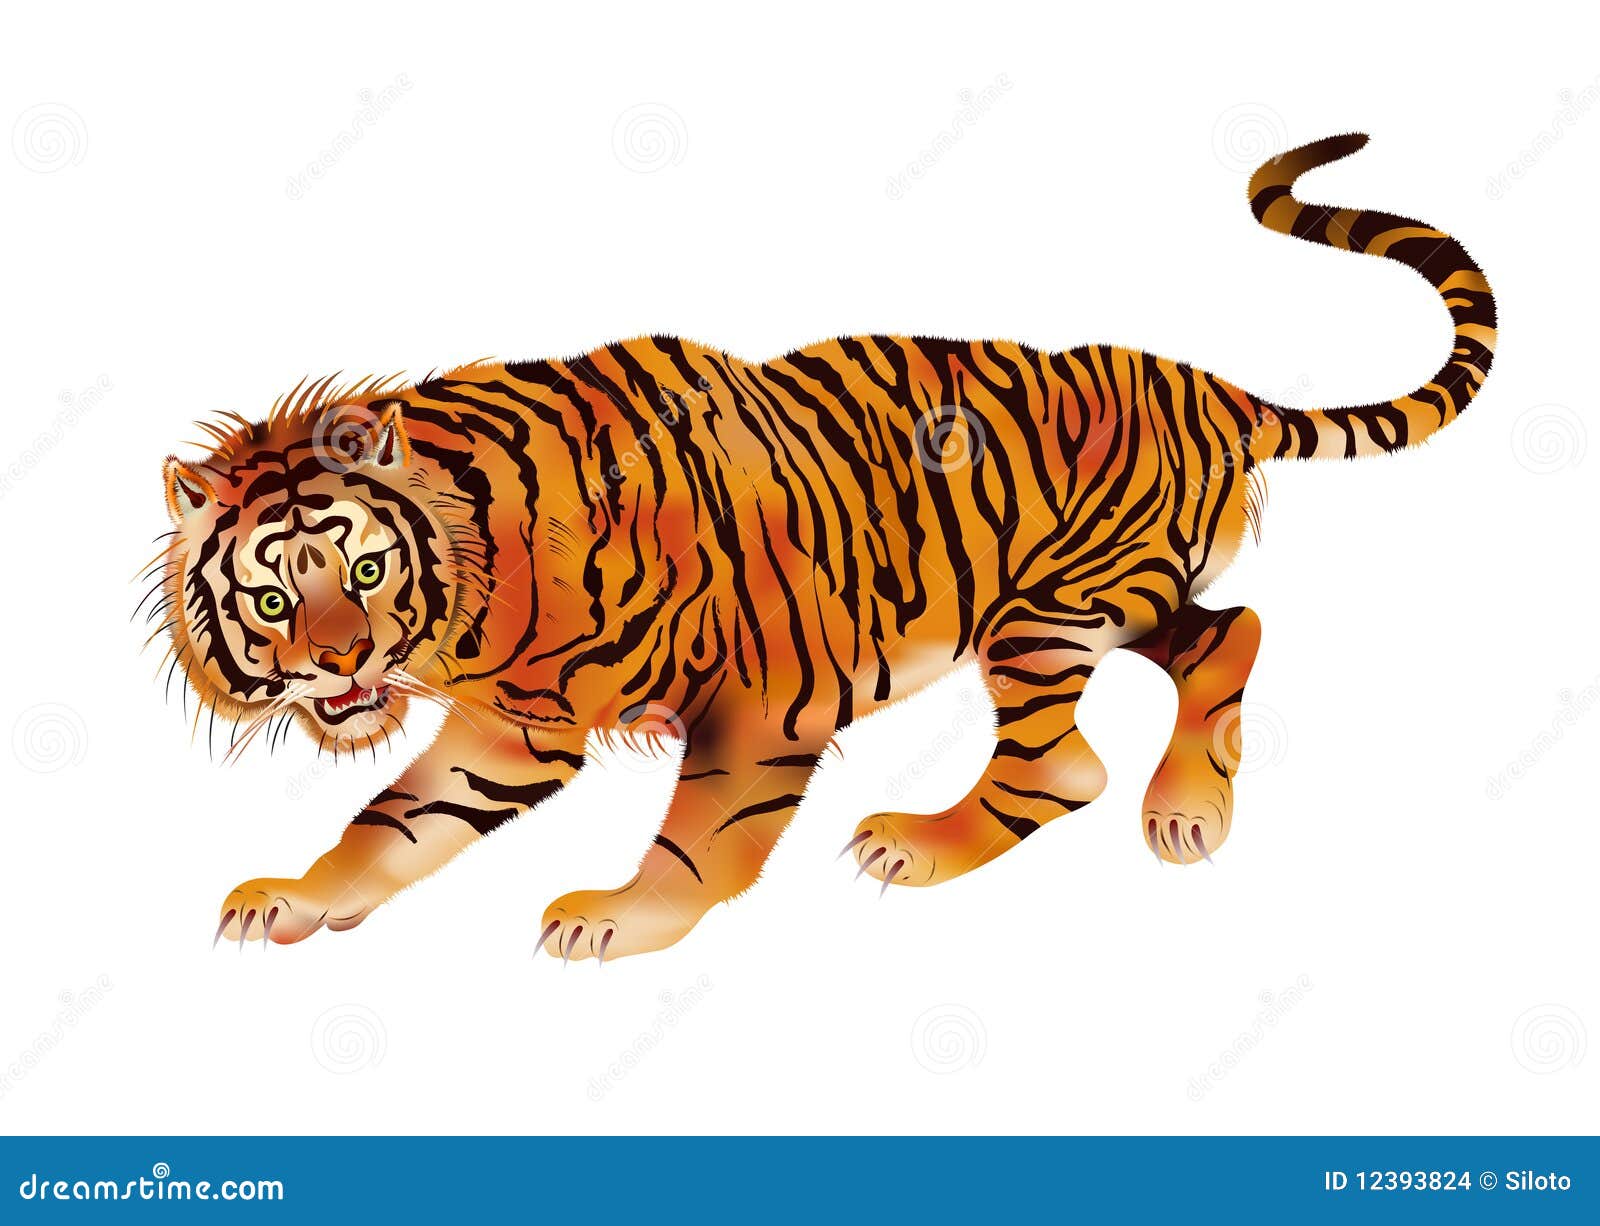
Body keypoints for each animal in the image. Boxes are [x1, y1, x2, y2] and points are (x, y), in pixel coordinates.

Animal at [148, 133, 1494, 963]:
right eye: (274, 600)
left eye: (366, 572)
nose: (336, 664)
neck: (477, 588)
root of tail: (1203, 381)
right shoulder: (505, 732)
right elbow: (394, 821)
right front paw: (298, 897)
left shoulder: (758, 702)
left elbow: (702, 838)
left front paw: (617, 919)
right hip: (1114, 586)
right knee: (1229, 631)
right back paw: (1188, 813)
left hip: (1046, 614)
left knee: (1063, 769)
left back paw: (929, 843)